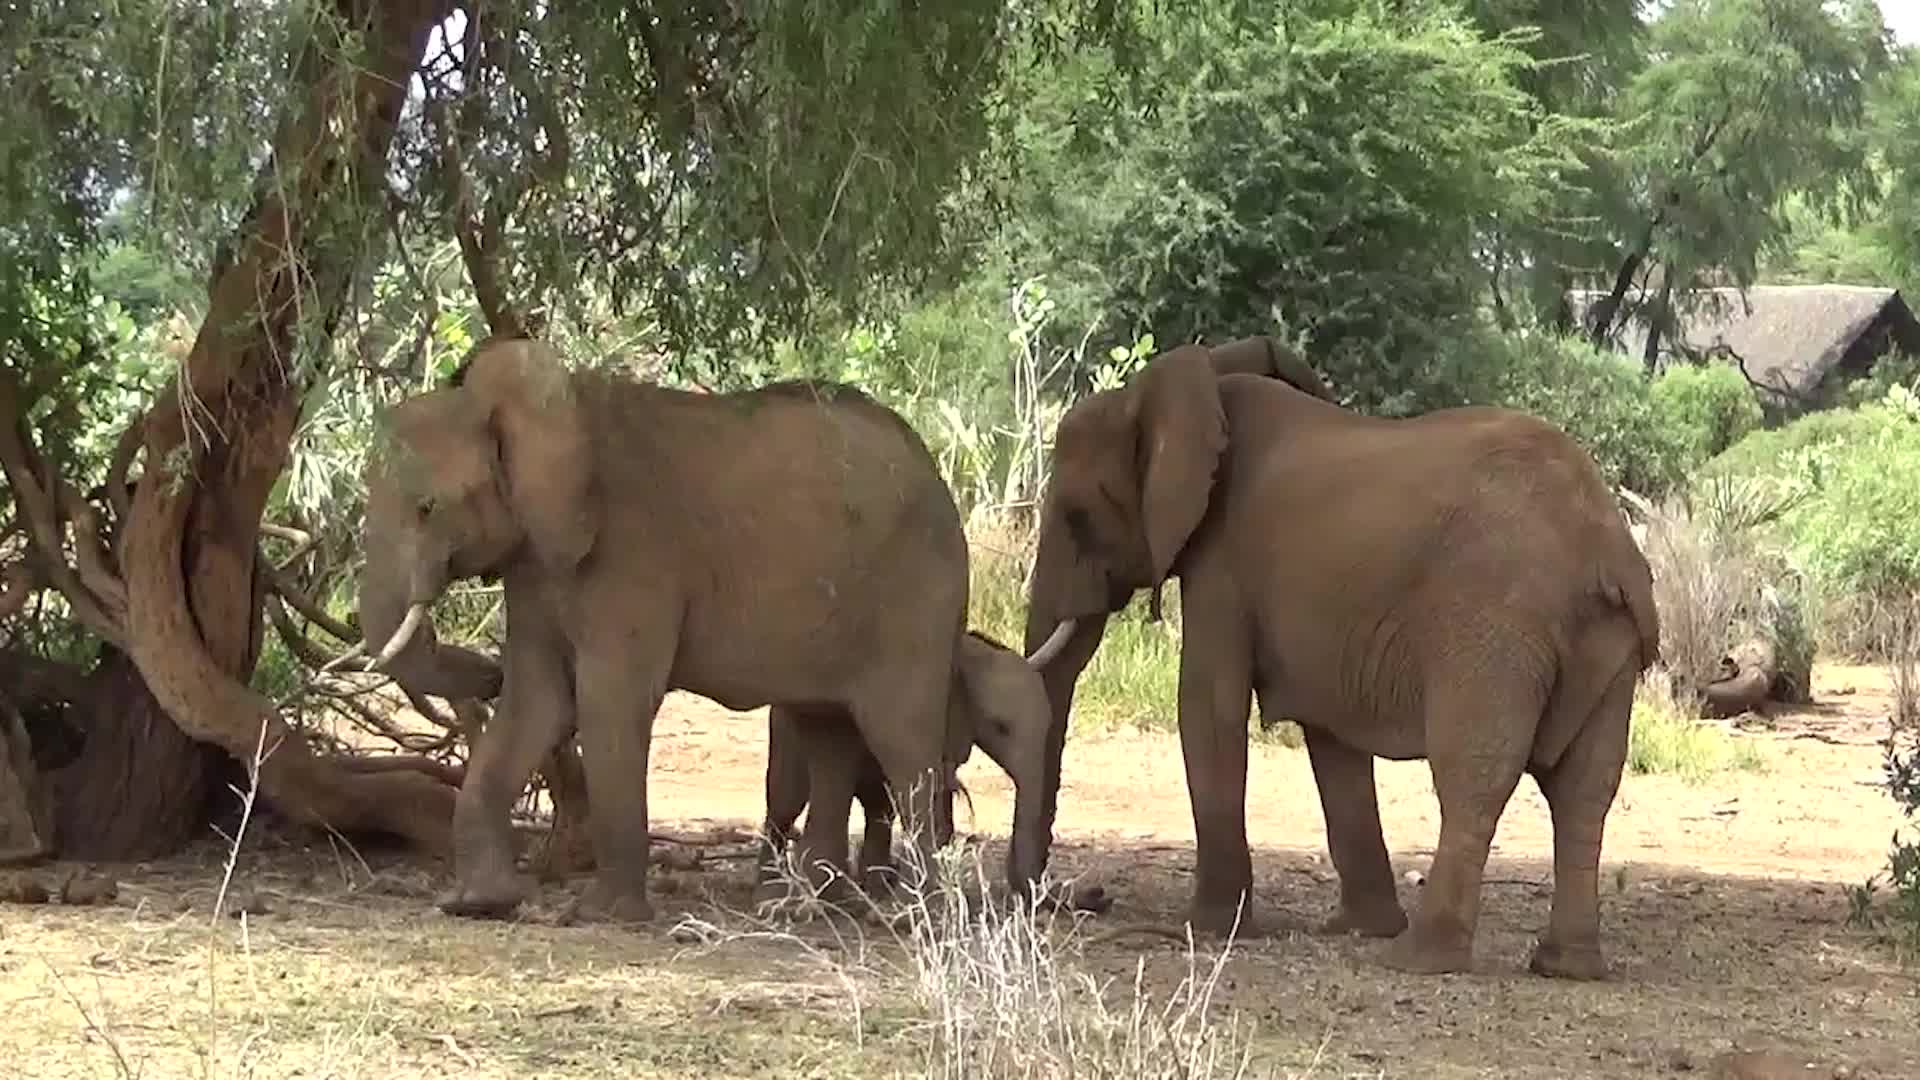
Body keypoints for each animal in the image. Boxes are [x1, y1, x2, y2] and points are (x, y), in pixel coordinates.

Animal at [357, 334, 973, 924]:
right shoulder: (535, 560)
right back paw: (810, 911)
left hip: (918, 595)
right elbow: (538, 700)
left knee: (902, 739)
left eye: (427, 507)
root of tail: (933, 469)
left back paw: (916, 917)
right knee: (827, 735)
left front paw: (603, 916)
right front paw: (479, 904)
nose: (483, 668)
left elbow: (609, 701)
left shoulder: (630, 554)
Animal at [1018, 335, 1659, 979]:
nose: (1084, 898)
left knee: (1474, 774)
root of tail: (1606, 544)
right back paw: (1565, 965)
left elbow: (1206, 707)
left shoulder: (1224, 565)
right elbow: (1332, 738)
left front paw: (1211, 928)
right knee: (1586, 787)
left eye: (1076, 515)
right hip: (1603, 642)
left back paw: (1419, 957)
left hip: (1494, 625)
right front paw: (1359, 927)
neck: (1194, 381)